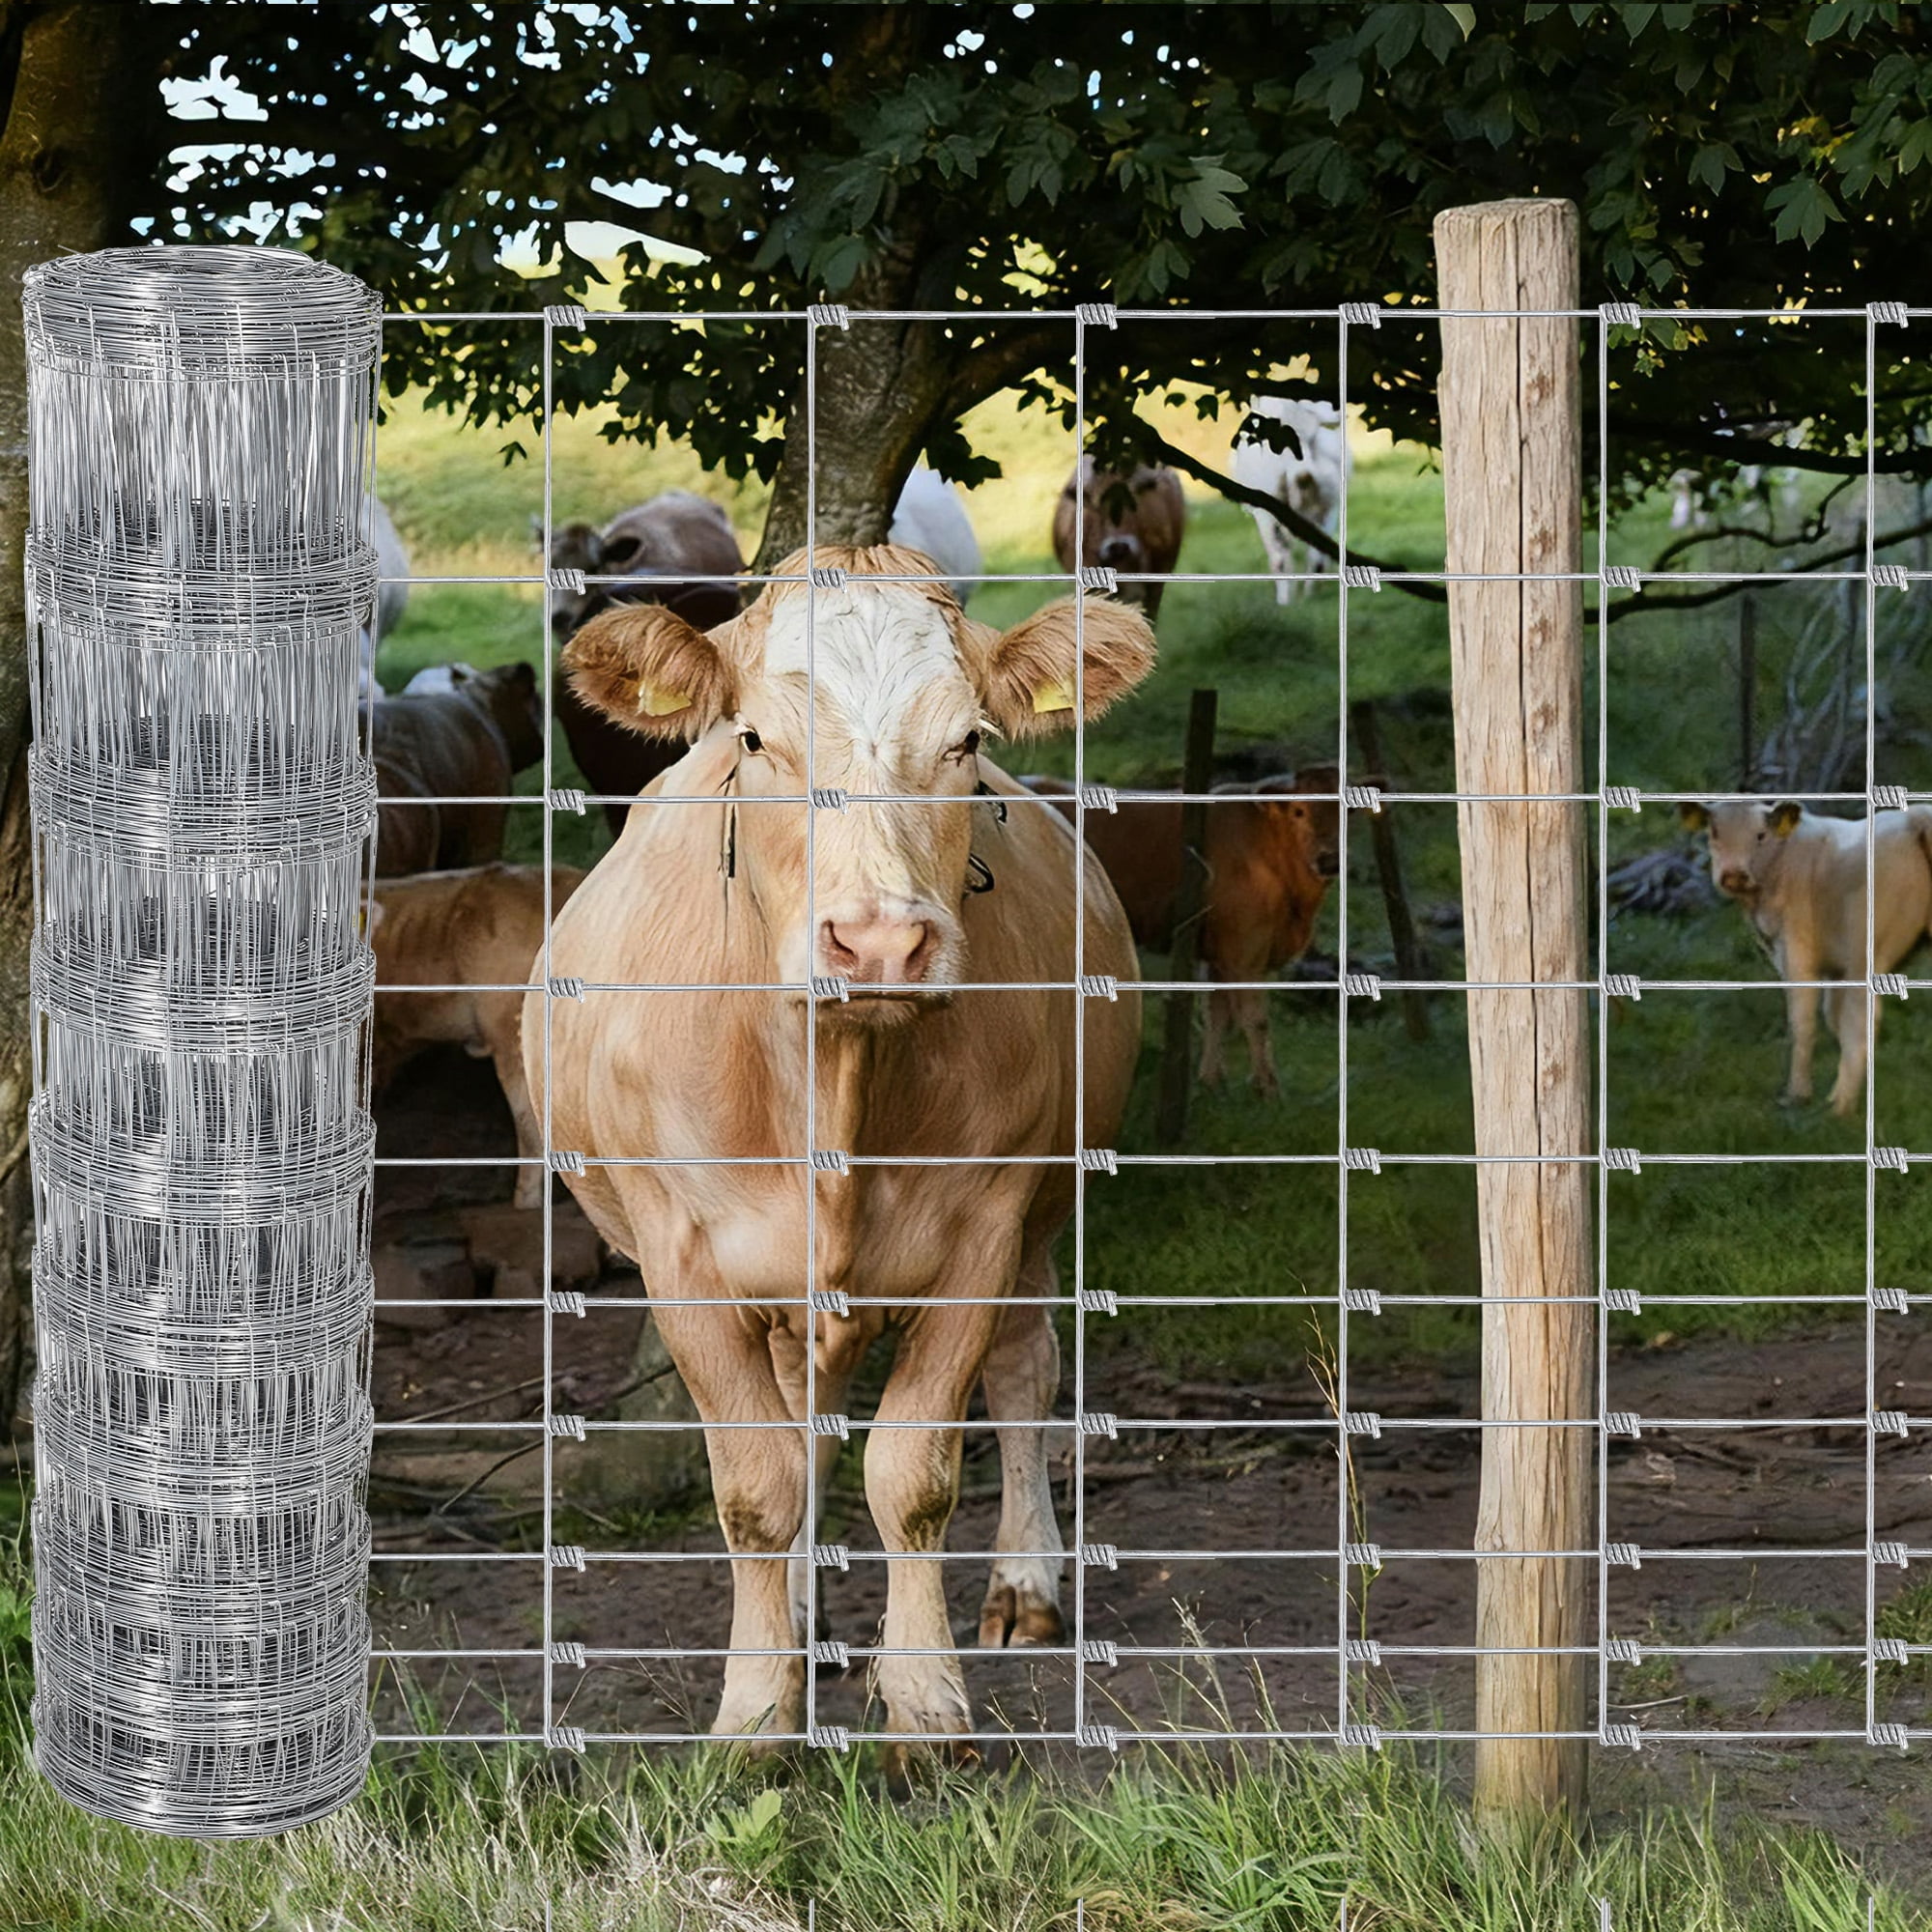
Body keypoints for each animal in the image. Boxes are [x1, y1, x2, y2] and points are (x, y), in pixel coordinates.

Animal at [525, 546, 1154, 1764]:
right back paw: (804, 1615)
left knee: (1022, 1371)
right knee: (803, 1420)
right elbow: (756, 1485)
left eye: (966, 741)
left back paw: (1022, 1582)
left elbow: (911, 1472)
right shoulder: (681, 1256)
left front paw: (923, 1699)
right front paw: (754, 1707)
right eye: (754, 738)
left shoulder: (983, 1228)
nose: (876, 941)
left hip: (1040, 1214)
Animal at [1023, 766, 1342, 1098]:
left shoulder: (1220, 954)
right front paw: (1268, 1089)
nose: (1329, 859)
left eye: (1346, 811)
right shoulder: (1245, 949)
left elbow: (1218, 1015)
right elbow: (1255, 1020)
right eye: (1299, 811)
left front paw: (1211, 1081)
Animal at [1231, 398, 1347, 605]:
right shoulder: (1265, 516)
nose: (1305, 476)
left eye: (1311, 439)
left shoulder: (1329, 507)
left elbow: (1316, 555)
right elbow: (1281, 559)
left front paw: (1309, 596)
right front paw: (1286, 602)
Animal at [1680, 798, 1932, 1115]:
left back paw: (1840, 1107)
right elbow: (1832, 1016)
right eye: (1713, 833)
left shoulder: (1796, 952)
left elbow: (1803, 1021)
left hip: (1866, 954)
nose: (1734, 875)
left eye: (1761, 835)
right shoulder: (1834, 967)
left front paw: (1797, 1094)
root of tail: (1913, 819)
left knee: (1862, 1019)